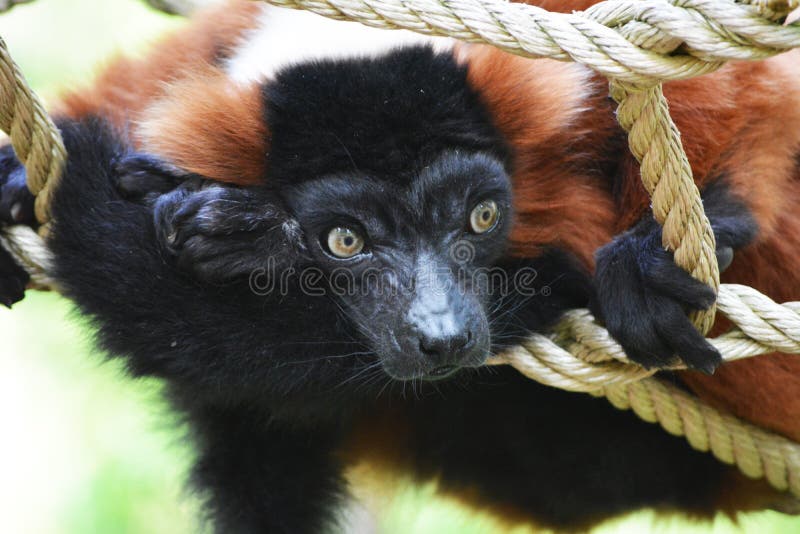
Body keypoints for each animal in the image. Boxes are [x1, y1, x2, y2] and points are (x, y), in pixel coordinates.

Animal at [0, 1, 798, 532]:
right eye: (345, 242)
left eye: (480, 219)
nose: (442, 337)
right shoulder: (208, 52)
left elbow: (750, 100)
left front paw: (660, 247)